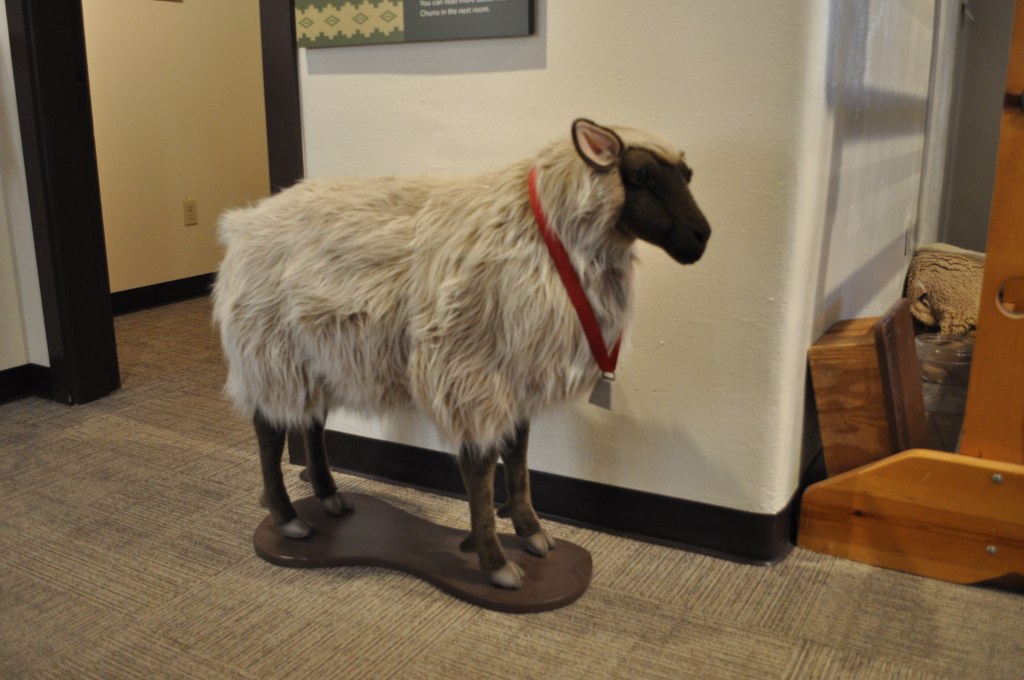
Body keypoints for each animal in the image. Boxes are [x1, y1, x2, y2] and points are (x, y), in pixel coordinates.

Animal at [212, 118, 711, 589]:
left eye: (687, 174)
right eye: (642, 175)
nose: (701, 236)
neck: (545, 235)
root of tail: (242, 224)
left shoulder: (515, 374)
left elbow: (519, 453)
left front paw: (530, 530)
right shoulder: (472, 373)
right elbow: (480, 466)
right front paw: (495, 560)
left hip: (316, 354)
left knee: (311, 423)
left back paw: (330, 497)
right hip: (270, 349)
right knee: (269, 429)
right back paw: (288, 518)